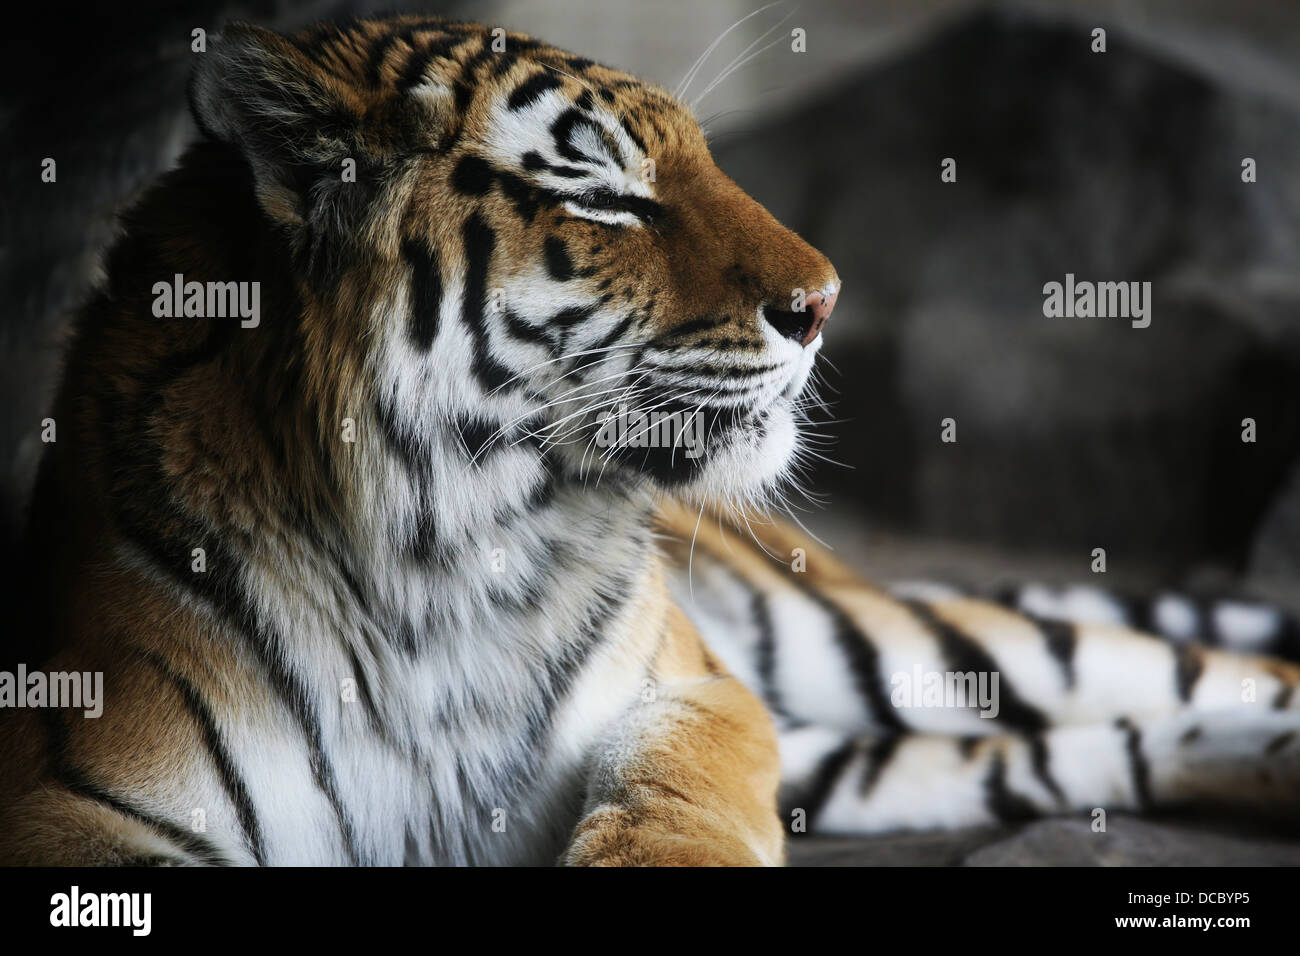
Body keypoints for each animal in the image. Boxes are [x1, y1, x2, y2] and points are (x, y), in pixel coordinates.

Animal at [2, 14, 1297, 866]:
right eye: (608, 198)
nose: (826, 302)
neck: (439, 553)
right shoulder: (80, 797)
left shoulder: (694, 684)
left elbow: (679, 792)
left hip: (873, 638)